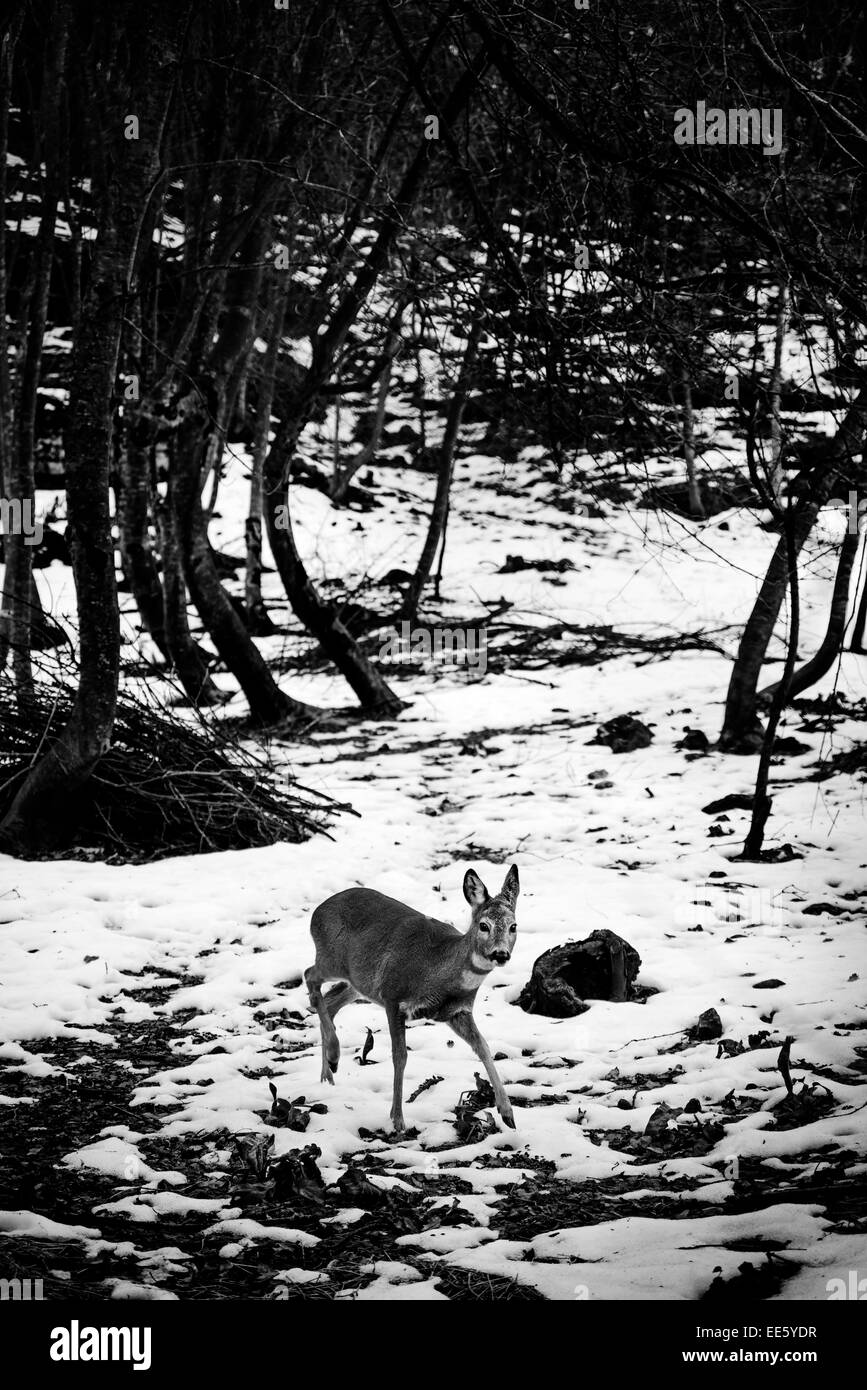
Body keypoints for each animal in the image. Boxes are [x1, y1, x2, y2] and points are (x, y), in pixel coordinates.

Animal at [304, 864, 519, 1134]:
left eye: (513, 926)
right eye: (483, 925)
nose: (500, 953)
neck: (438, 970)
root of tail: (317, 911)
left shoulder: (457, 1012)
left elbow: (483, 1047)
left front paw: (508, 1113)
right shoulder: (393, 996)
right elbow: (400, 1056)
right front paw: (397, 1120)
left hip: (359, 982)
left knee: (330, 1002)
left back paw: (328, 1075)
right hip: (332, 960)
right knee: (309, 977)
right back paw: (333, 1057)